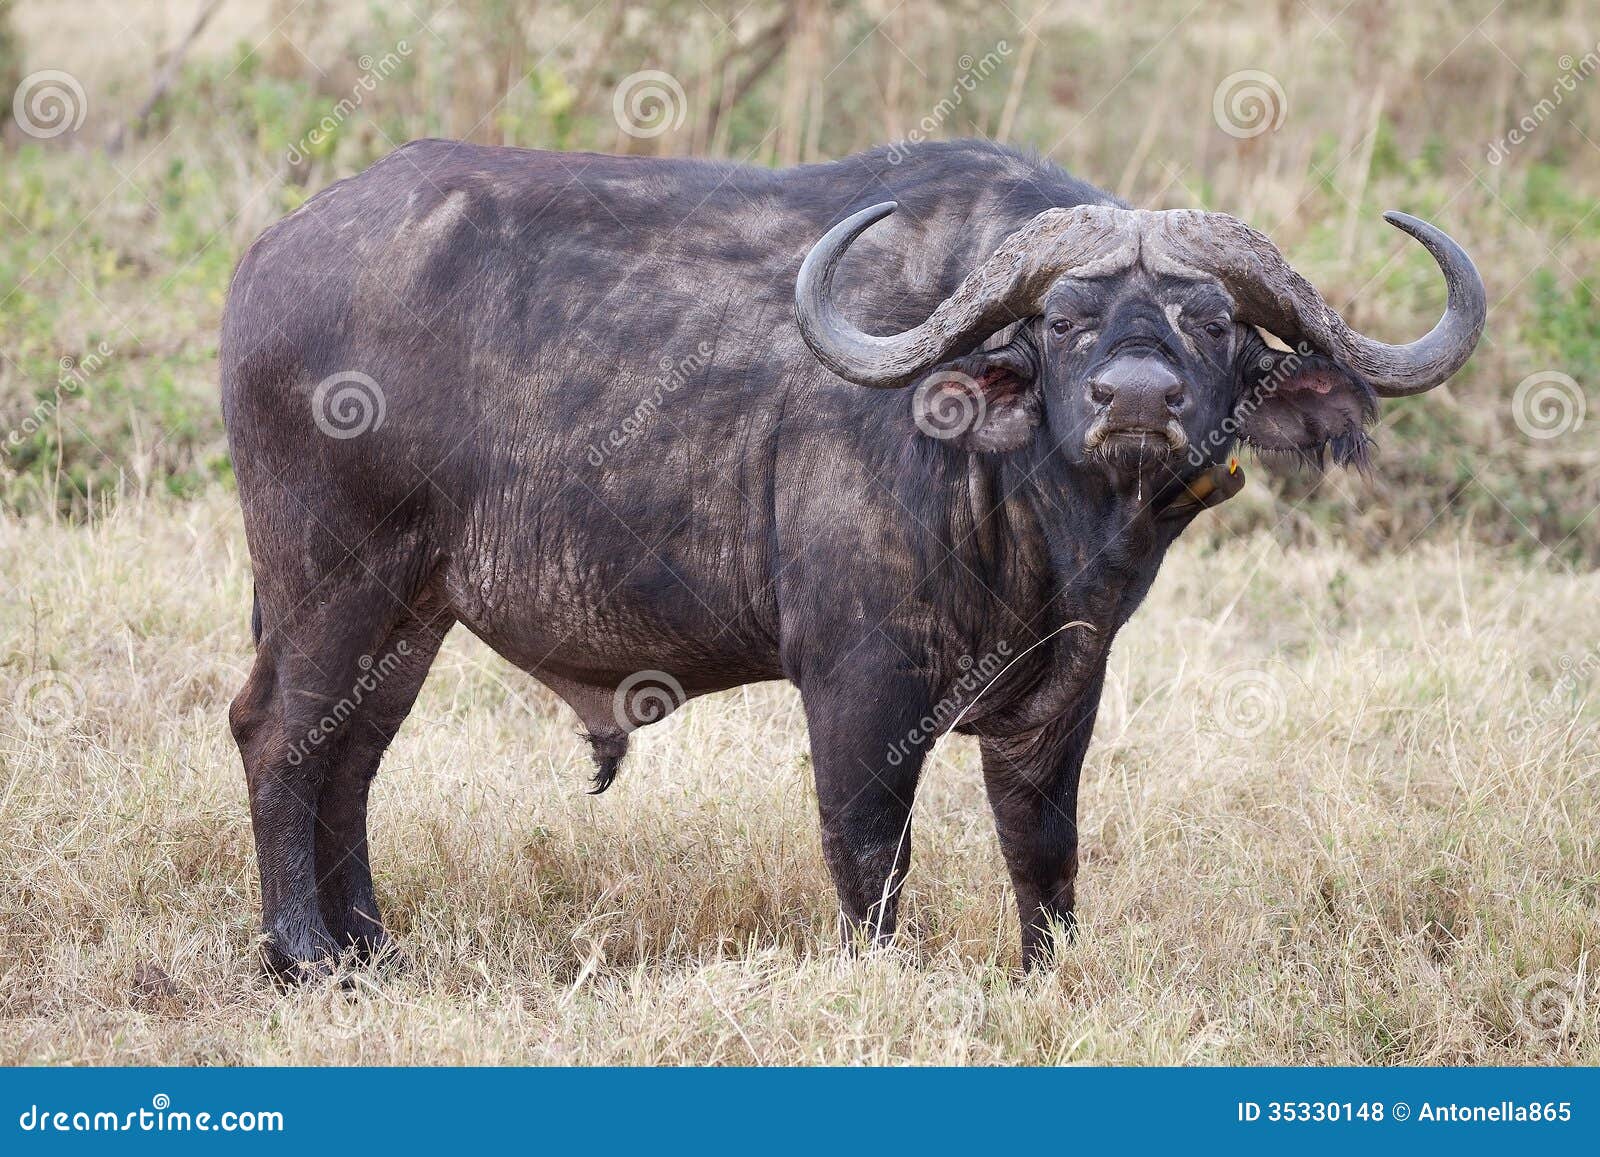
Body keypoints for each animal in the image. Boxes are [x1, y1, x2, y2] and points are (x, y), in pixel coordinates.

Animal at [222, 138, 1484, 977]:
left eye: (1213, 321)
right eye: (1064, 319)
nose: (1135, 399)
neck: (1029, 519)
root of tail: (270, 254)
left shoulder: (1062, 690)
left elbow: (1045, 847)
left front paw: (1046, 977)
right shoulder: (857, 680)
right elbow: (870, 848)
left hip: (413, 607)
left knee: (352, 755)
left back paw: (372, 949)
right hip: (332, 575)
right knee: (279, 731)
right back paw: (303, 955)